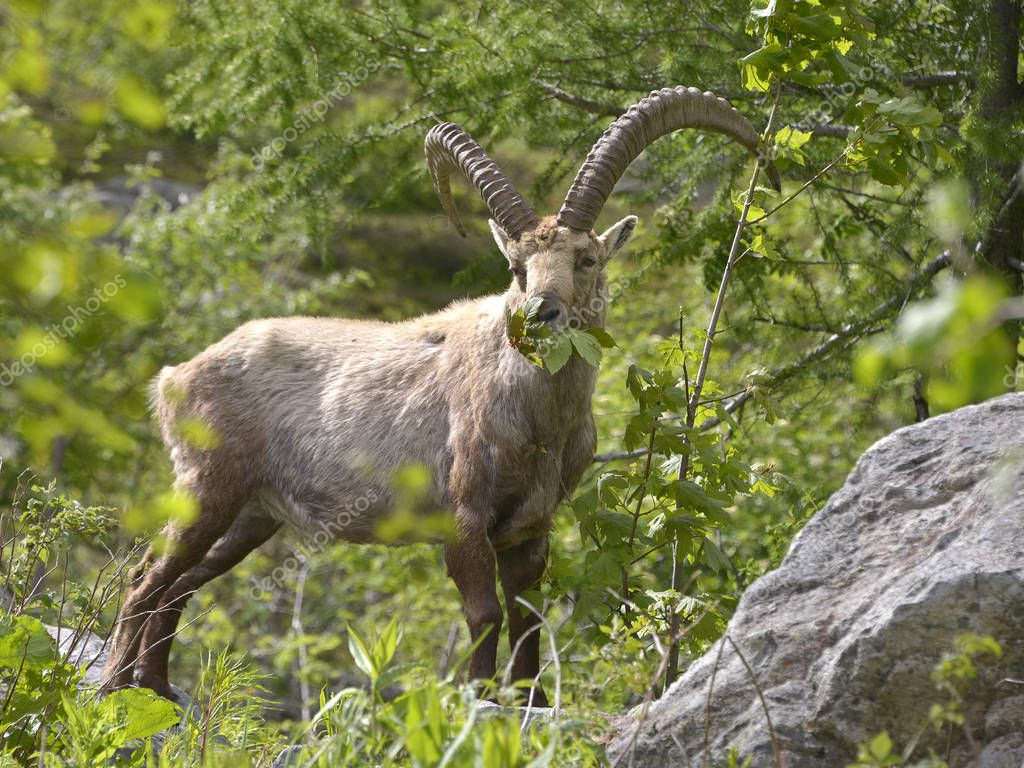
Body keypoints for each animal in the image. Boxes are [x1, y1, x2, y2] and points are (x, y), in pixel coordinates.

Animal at [100, 87, 777, 705]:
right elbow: (485, 616)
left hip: (254, 512)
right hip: (208, 485)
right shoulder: (463, 518)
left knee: (180, 584)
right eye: (517, 268)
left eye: (586, 258)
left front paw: (531, 706)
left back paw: (155, 689)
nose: (541, 313)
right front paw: (478, 705)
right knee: (144, 577)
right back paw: (114, 688)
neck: (538, 422)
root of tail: (174, 376)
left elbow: (527, 621)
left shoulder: (530, 529)